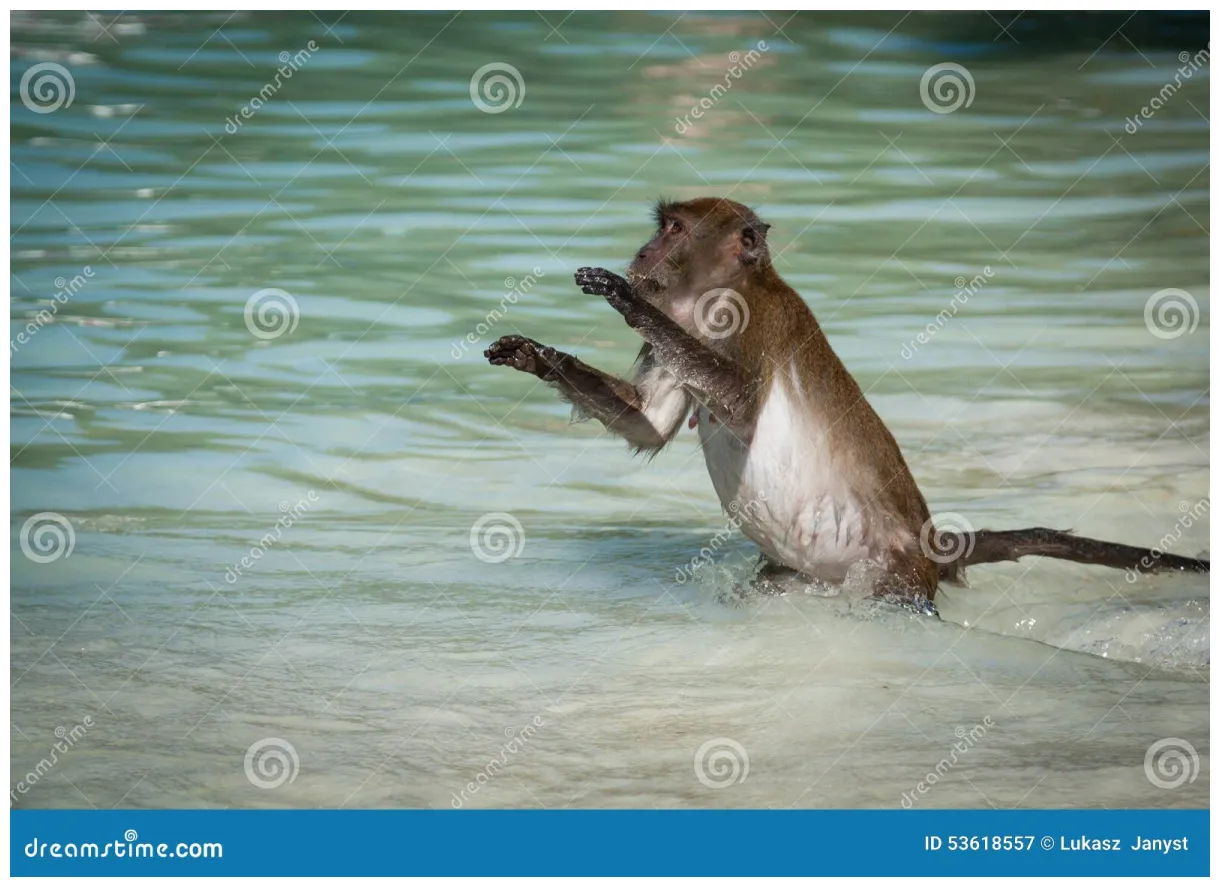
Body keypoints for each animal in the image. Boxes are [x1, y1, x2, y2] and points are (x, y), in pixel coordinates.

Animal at [485, 197, 1209, 613]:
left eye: (673, 229)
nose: (643, 253)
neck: (714, 295)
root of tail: (930, 546)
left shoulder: (750, 321)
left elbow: (739, 404)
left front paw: (622, 296)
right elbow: (650, 423)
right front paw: (534, 353)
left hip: (895, 575)